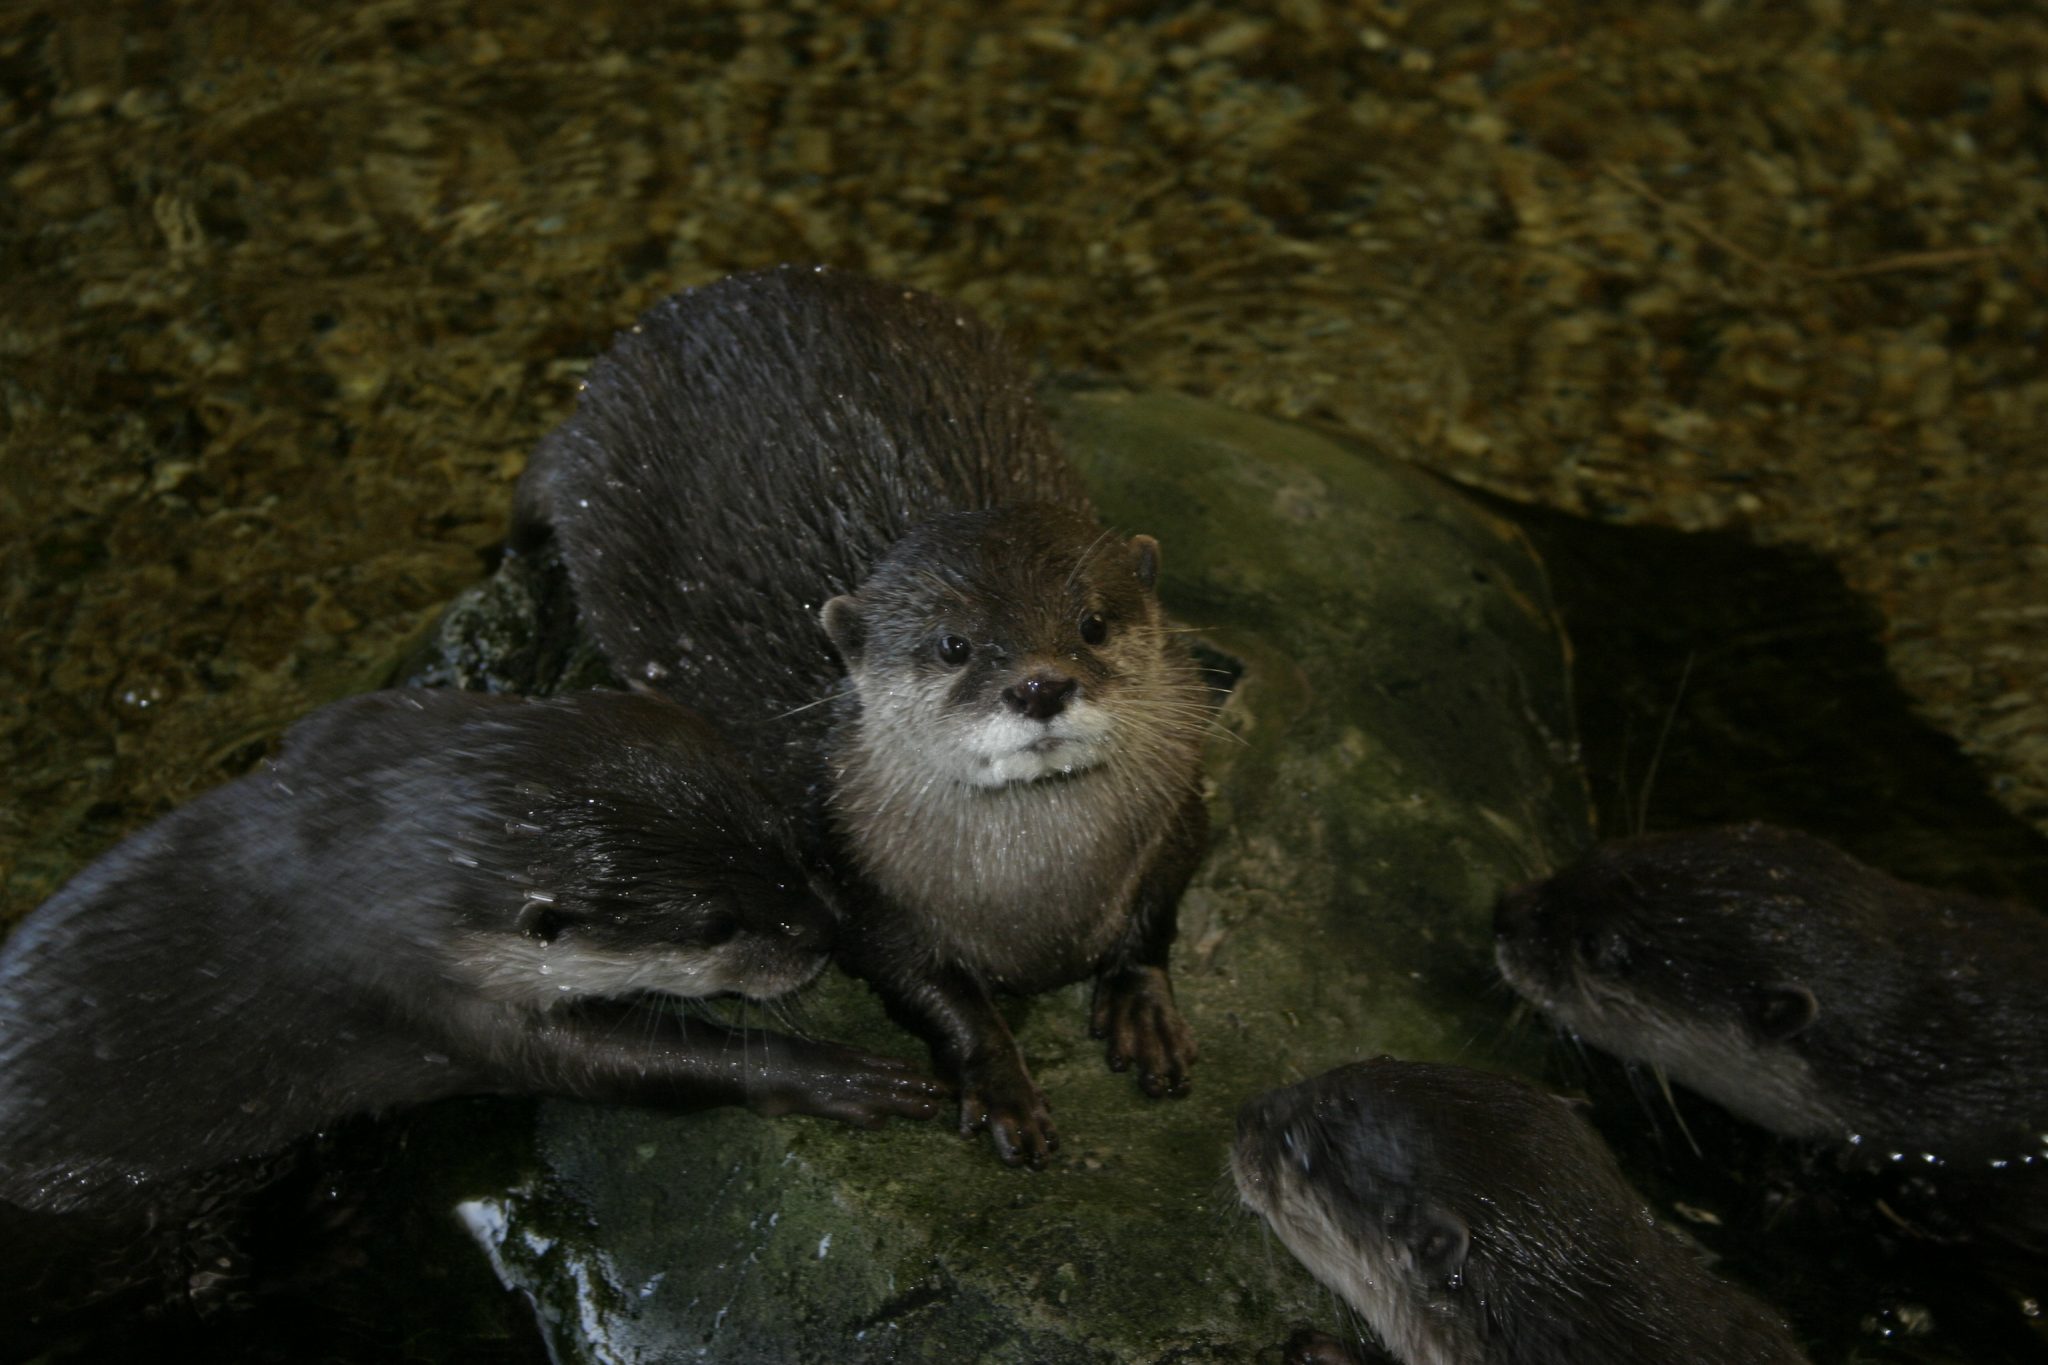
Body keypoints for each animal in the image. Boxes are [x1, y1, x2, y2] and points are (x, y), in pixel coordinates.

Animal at [0, 688, 941, 1221]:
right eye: (716, 924)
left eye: (777, 831)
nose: (821, 931)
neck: (351, 846)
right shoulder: (418, 994)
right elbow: (625, 1062)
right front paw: (836, 1074)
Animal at [515, 266, 1212, 1165]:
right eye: (953, 644)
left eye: (1091, 623)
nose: (1039, 686)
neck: (1039, 901)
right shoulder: (856, 875)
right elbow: (930, 988)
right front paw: (1003, 1083)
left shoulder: (1179, 814)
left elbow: (1157, 915)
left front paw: (1143, 1005)